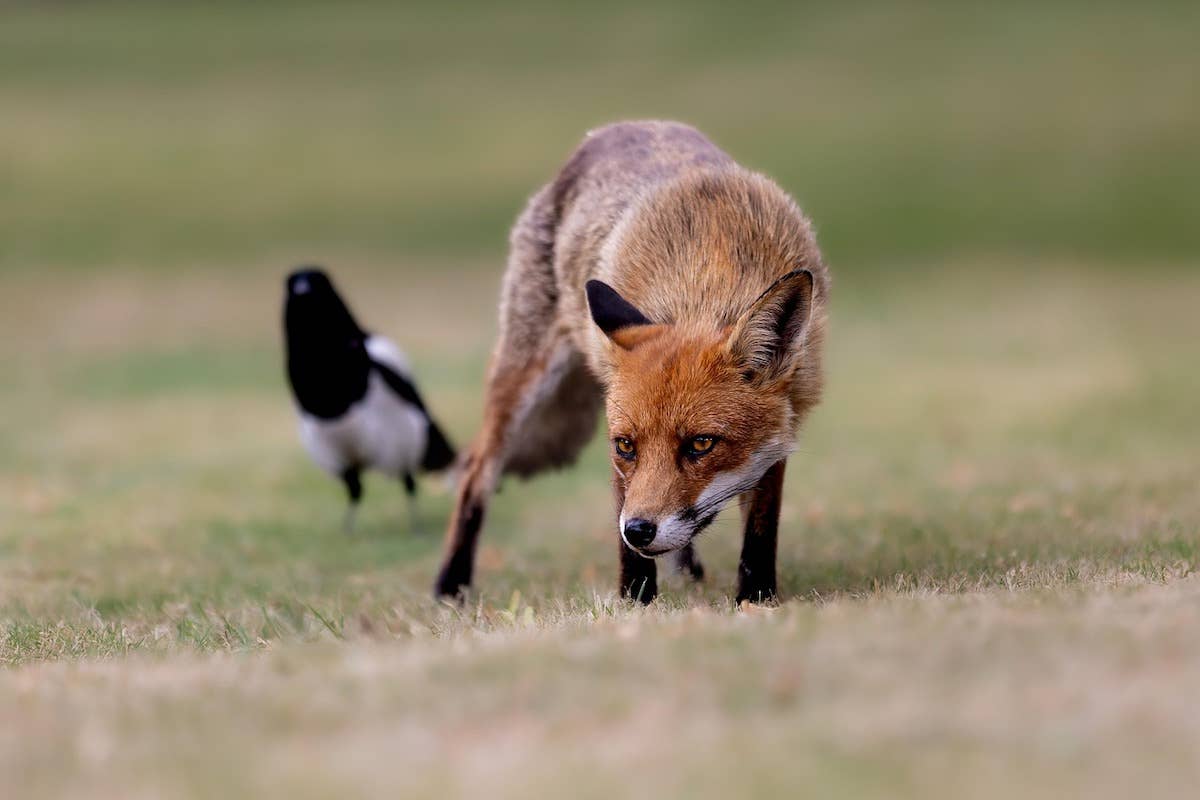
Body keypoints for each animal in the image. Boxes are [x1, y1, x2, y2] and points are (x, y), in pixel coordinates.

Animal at [435, 121, 828, 604]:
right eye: (625, 446)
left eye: (701, 444)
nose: (638, 530)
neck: (706, 270)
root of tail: (616, 128)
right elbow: (629, 537)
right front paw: (636, 602)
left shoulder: (782, 427)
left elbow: (760, 531)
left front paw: (756, 601)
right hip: (522, 382)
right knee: (476, 474)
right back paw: (450, 586)